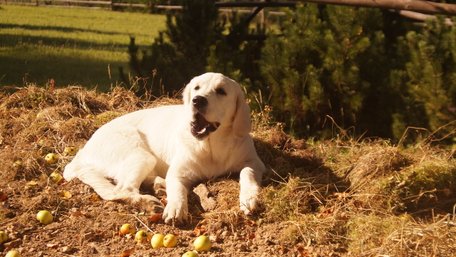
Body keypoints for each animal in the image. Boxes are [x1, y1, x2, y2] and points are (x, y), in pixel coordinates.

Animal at [63, 72, 264, 222]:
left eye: (221, 91)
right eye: (196, 88)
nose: (197, 100)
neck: (210, 145)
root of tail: (82, 152)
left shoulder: (255, 162)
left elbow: (246, 173)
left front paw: (248, 199)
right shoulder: (178, 172)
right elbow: (177, 190)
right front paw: (176, 208)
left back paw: (159, 185)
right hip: (141, 155)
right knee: (121, 190)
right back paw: (149, 201)